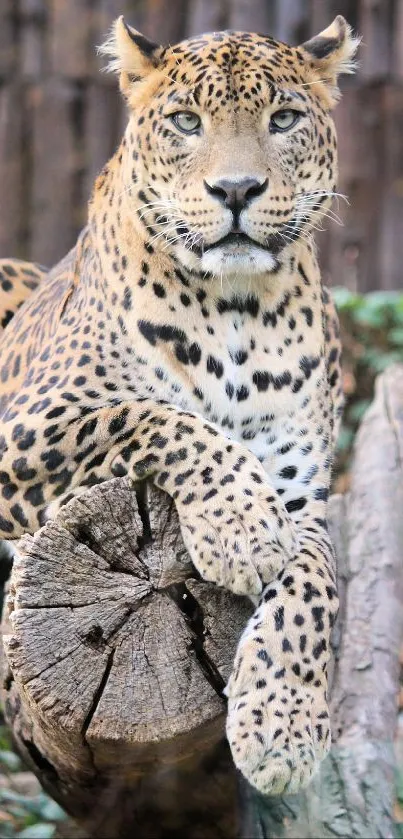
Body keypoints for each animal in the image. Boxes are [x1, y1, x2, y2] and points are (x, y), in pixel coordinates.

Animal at [0, 15, 359, 795]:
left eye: (283, 119)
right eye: (187, 122)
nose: (236, 190)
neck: (236, 309)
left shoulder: (303, 496)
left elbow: (313, 585)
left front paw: (282, 727)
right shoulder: (24, 433)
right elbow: (154, 417)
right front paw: (242, 529)